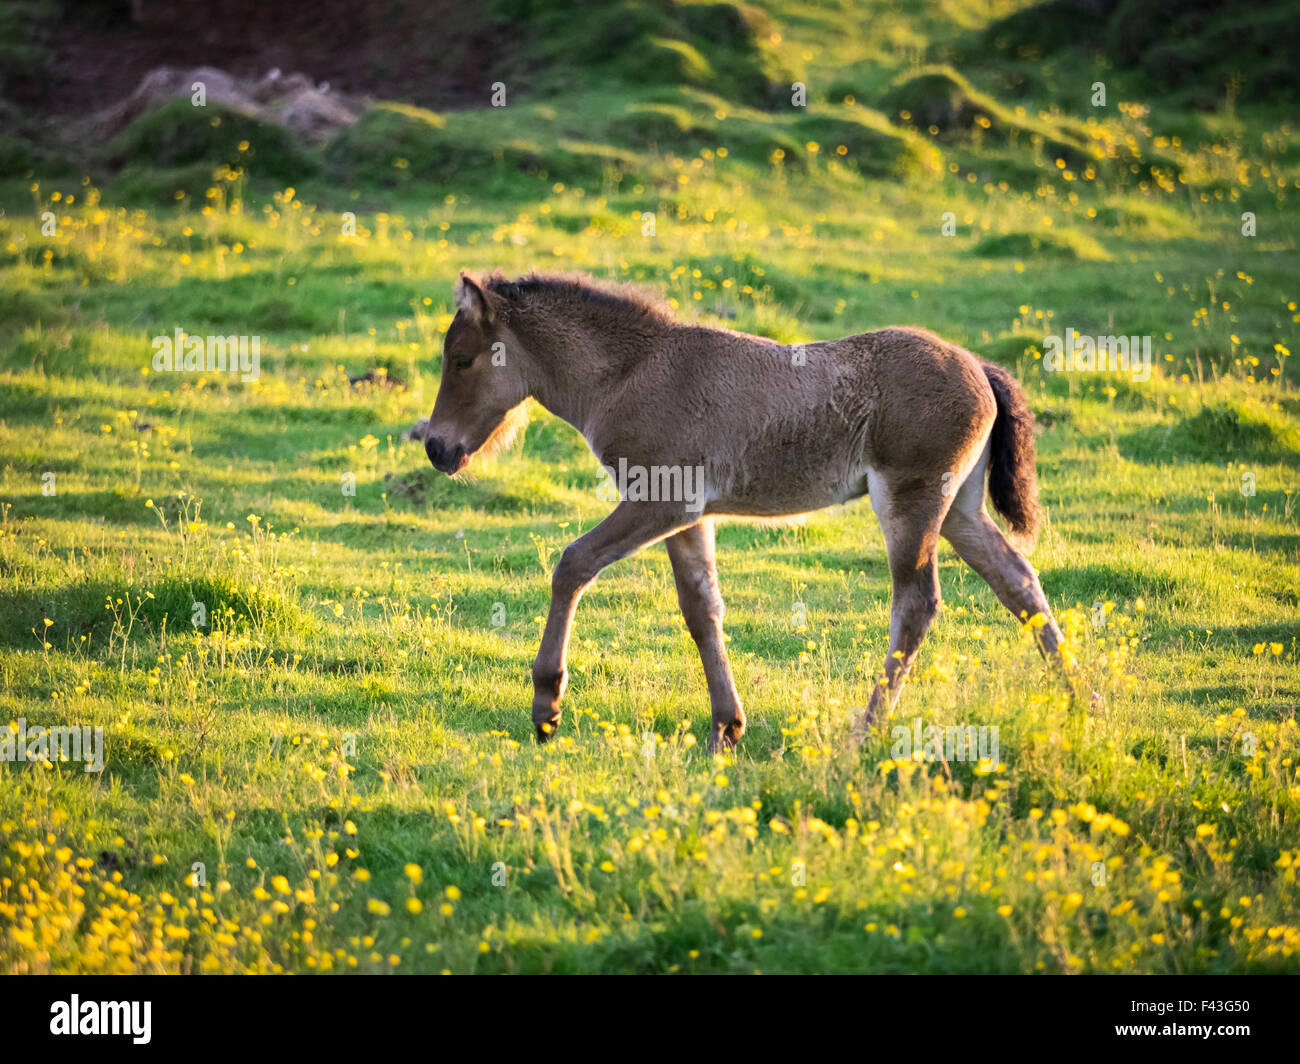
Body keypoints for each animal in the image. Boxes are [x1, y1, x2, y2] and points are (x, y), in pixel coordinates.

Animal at [423, 271, 1076, 752]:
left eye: (462, 360)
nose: (435, 448)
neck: (630, 373)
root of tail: (980, 368)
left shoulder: (660, 501)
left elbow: (572, 564)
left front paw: (547, 704)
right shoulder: (690, 515)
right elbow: (701, 609)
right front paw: (725, 728)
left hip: (911, 501)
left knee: (917, 605)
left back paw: (864, 733)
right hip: (960, 510)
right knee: (1018, 581)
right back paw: (1081, 699)